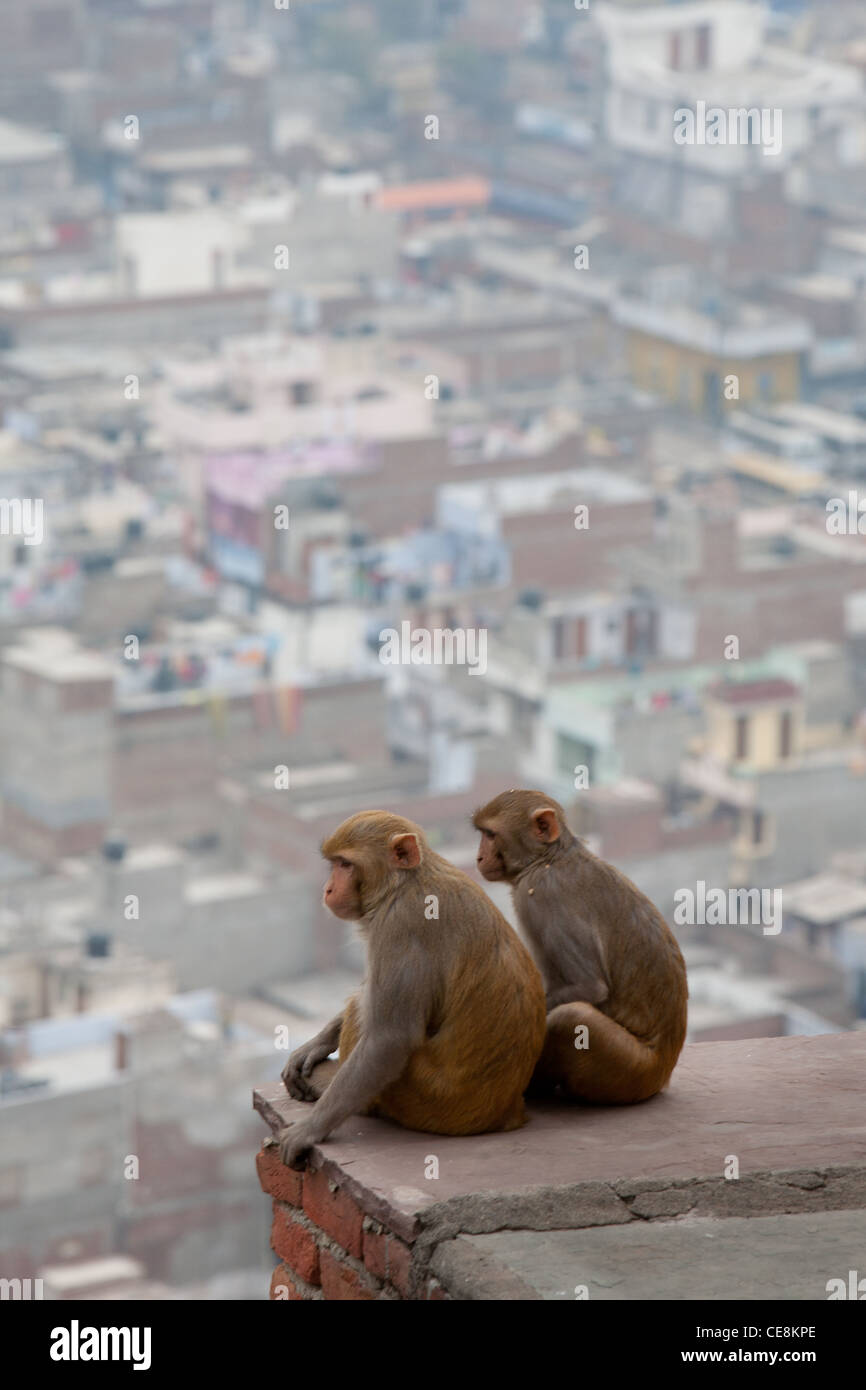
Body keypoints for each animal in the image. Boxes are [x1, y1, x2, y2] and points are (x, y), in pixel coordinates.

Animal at [277, 810, 547, 1168]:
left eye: (346, 864)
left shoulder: (400, 925)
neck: (403, 883)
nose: (328, 888)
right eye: (334, 863)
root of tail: (507, 1113)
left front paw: (309, 1130)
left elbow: (390, 1038)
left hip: (423, 1098)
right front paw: (315, 1044)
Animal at [472, 789, 688, 1105]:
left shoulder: (542, 892)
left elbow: (589, 986)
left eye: (490, 834)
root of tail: (663, 1070)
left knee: (571, 1018)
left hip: (630, 1069)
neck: (550, 858)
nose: (478, 857)